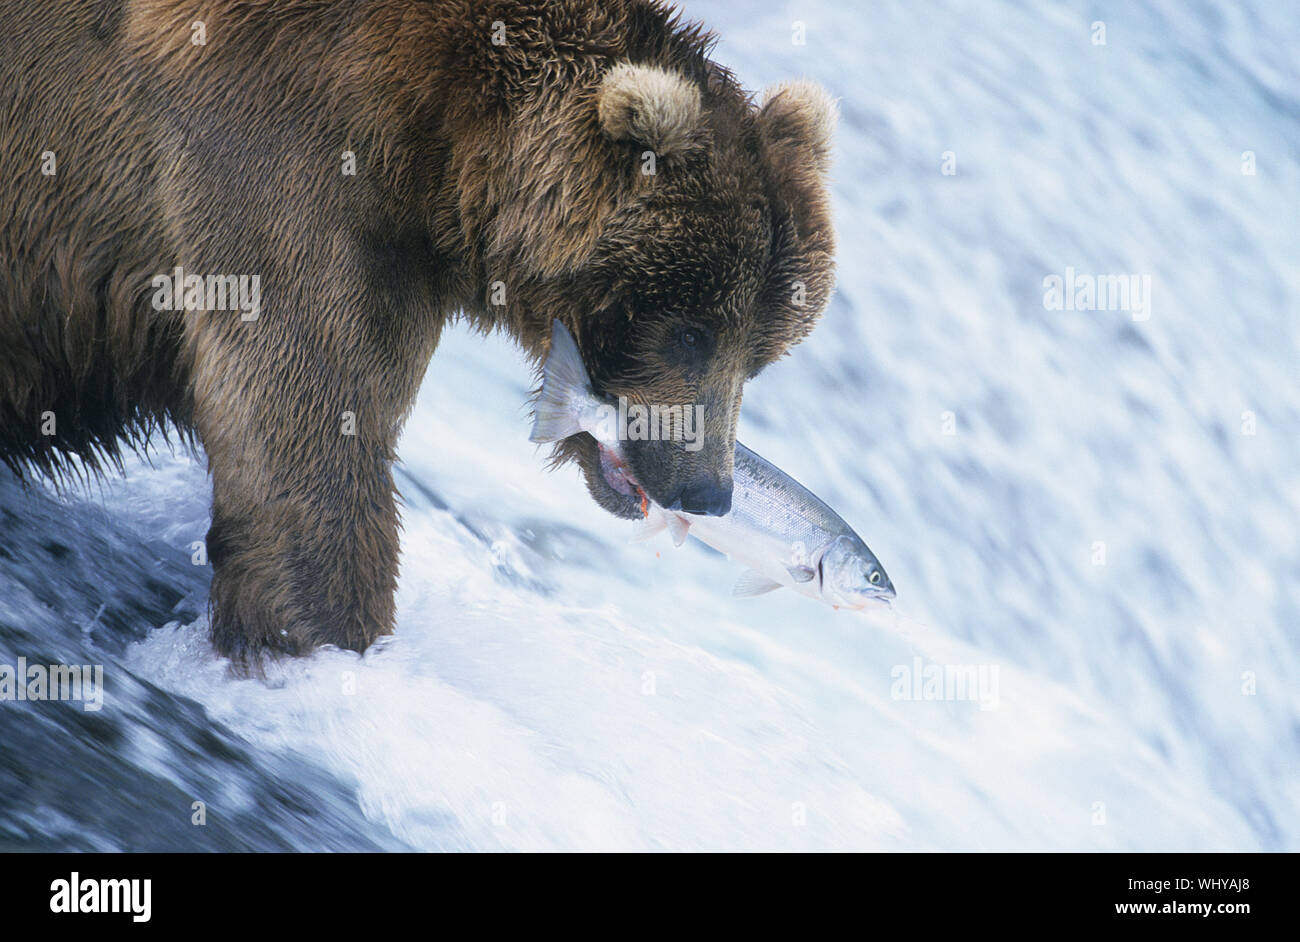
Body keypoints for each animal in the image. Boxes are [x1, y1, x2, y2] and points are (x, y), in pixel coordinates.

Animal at [0, 0, 837, 665]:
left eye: (761, 354)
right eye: (691, 331)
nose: (709, 488)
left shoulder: (404, 257)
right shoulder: (286, 160)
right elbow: (307, 429)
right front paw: (329, 639)